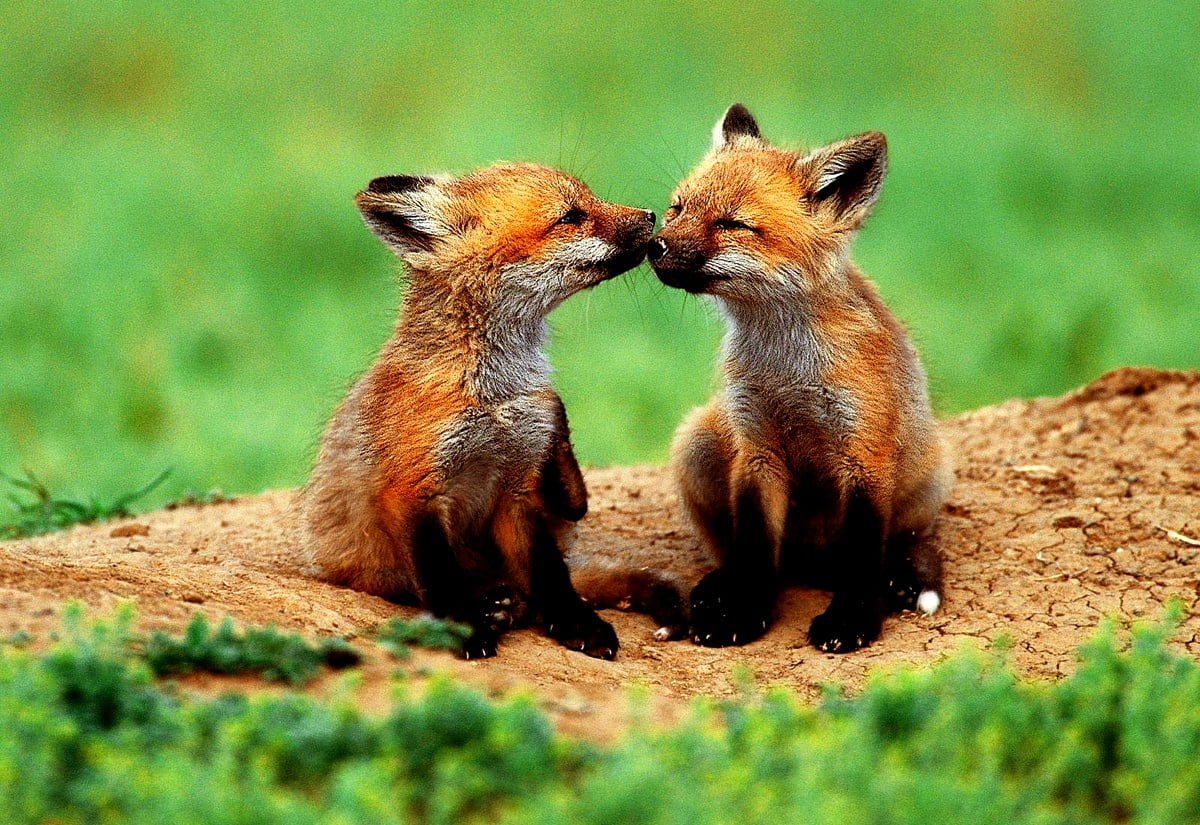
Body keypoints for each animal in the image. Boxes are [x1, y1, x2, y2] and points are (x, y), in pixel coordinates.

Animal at [301, 162, 658, 660]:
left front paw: (575, 622)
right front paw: (464, 629)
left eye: (590, 199)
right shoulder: (410, 491)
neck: (494, 396)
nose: (652, 215)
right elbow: (440, 577)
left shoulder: (517, 486)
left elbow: (550, 572)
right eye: (571, 216)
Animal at [647, 104, 952, 653]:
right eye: (678, 208)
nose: (653, 245)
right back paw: (719, 587)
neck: (786, 368)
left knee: (898, 545)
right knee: (755, 558)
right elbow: (754, 551)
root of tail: (812, 563)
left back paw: (898, 576)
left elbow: (860, 558)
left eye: (732, 224)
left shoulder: (865, 454)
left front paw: (852, 621)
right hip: (697, 441)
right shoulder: (756, 445)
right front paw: (743, 611)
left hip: (928, 475)